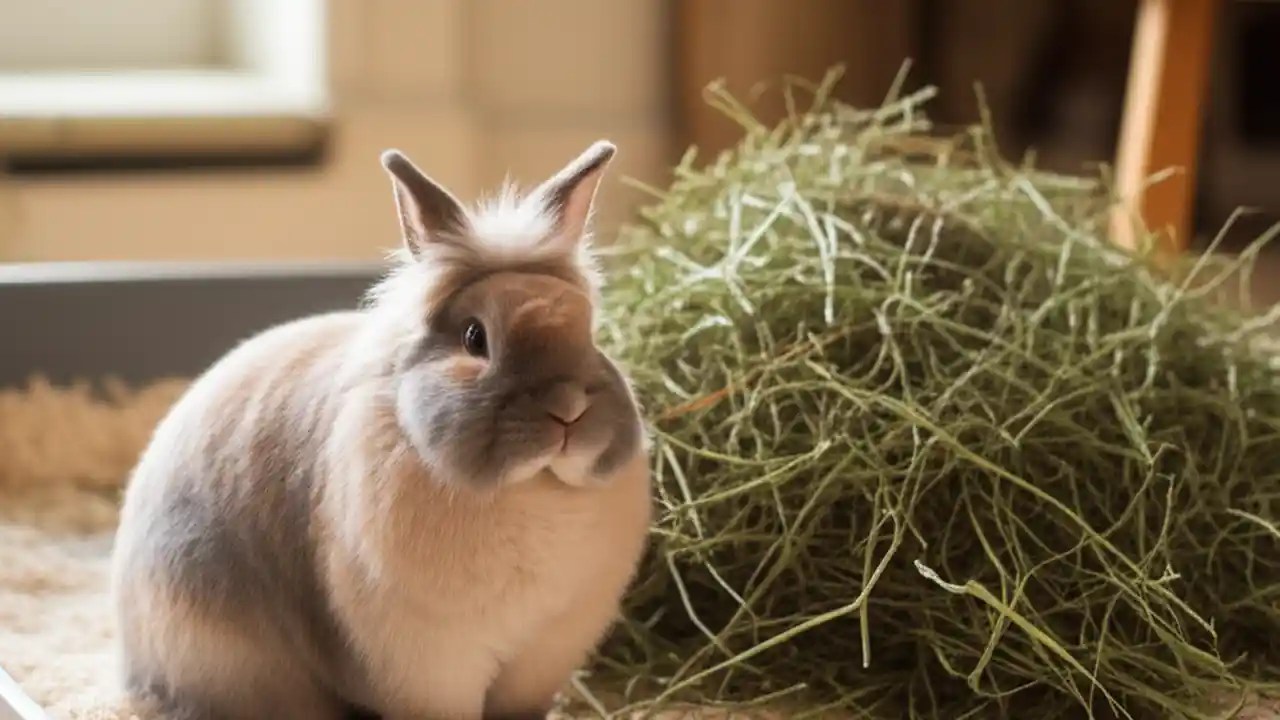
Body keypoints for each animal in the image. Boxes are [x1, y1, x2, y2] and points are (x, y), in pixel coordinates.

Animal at [111, 141, 653, 720]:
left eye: (589, 333)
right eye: (474, 338)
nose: (568, 408)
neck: (532, 489)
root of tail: (133, 658)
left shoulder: (541, 655)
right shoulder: (429, 663)